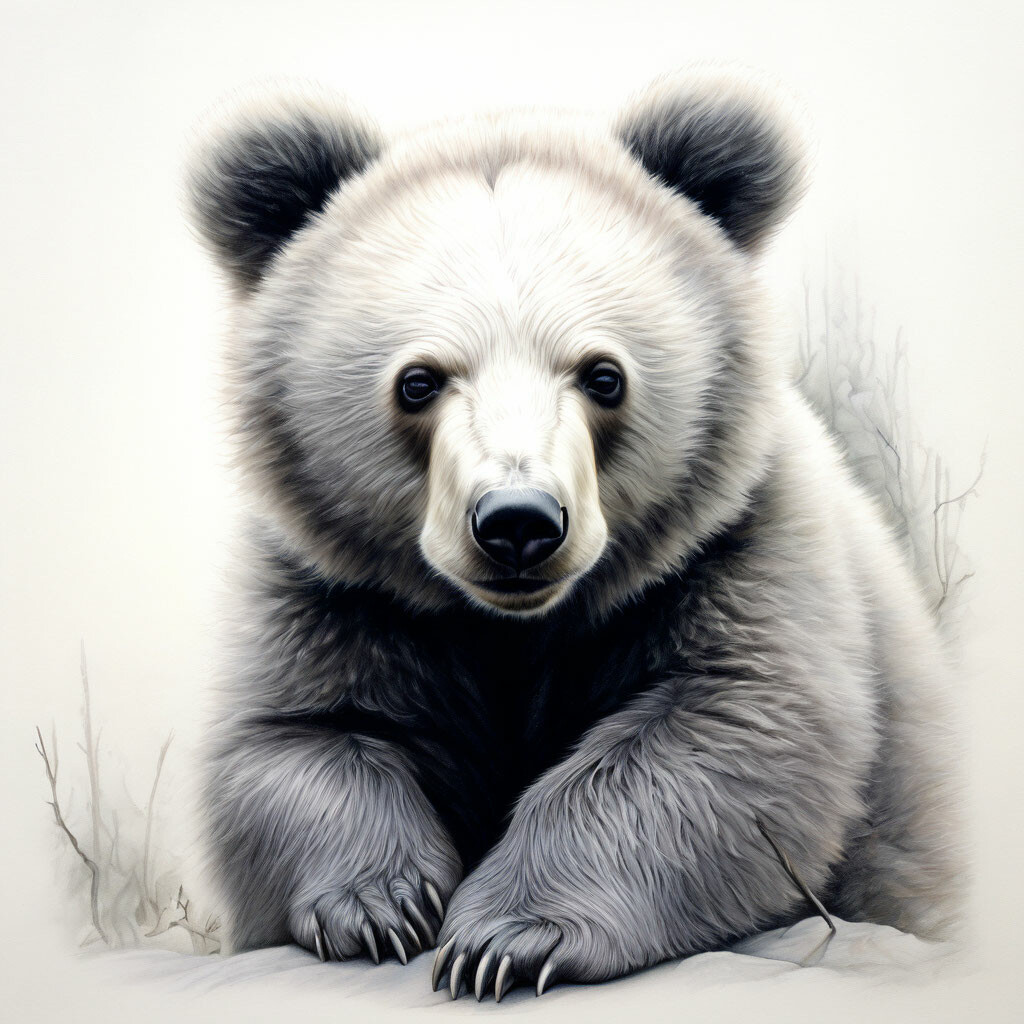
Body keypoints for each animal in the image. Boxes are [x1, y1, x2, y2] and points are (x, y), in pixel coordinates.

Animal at [186, 68, 961, 1000]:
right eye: (418, 381)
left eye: (603, 375)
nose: (518, 524)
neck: (514, 628)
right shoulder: (334, 588)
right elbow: (292, 740)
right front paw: (380, 906)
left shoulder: (733, 546)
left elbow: (731, 731)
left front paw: (504, 938)